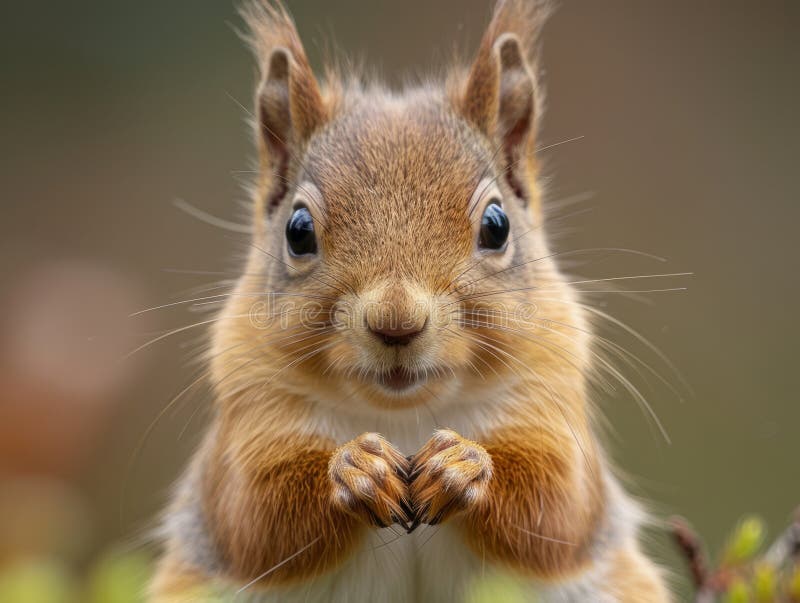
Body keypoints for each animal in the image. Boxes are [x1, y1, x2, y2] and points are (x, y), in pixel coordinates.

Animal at [150, 1, 672, 601]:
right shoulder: (247, 417)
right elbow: (252, 514)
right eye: (298, 232)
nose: (396, 323)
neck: (404, 416)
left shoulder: (552, 406)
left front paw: (464, 465)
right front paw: (354, 468)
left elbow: (559, 506)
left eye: (497, 225)